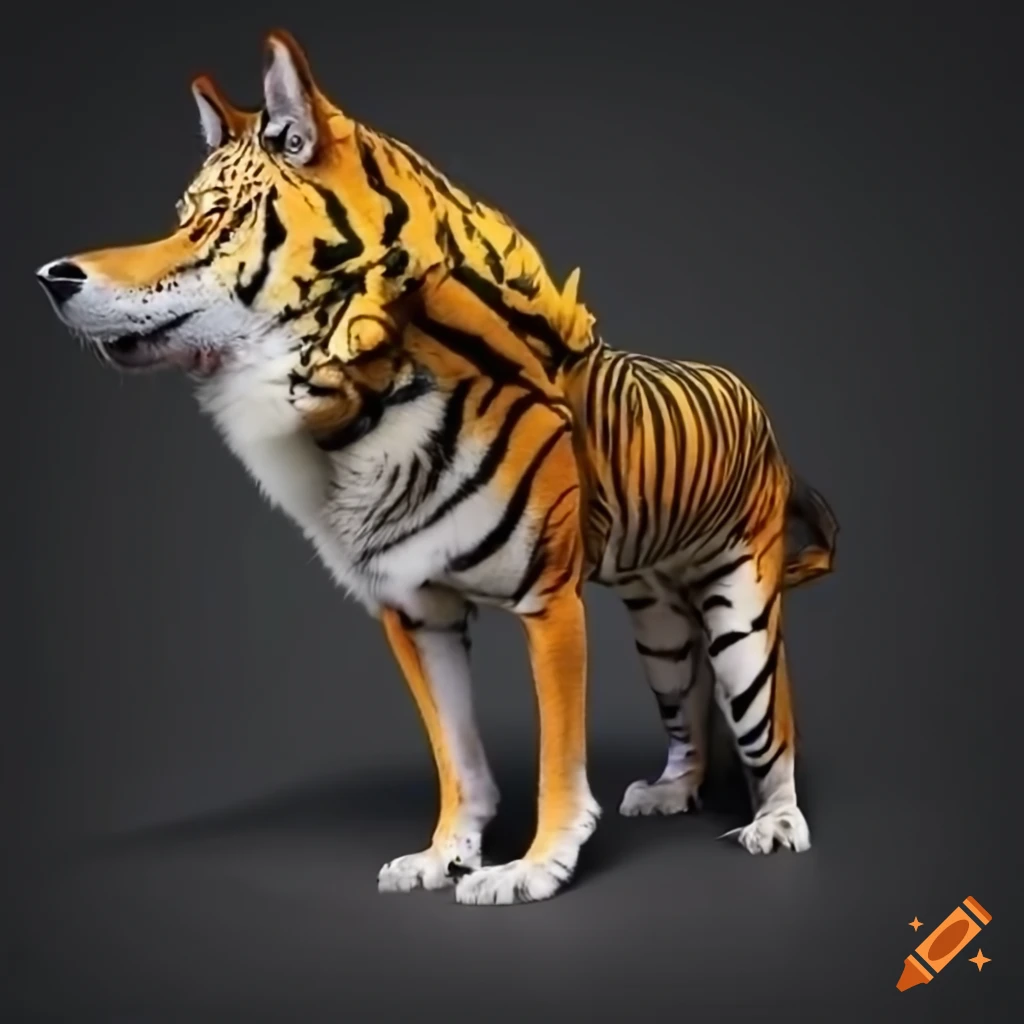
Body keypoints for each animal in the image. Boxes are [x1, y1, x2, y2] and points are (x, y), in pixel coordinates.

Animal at [34, 29, 837, 905]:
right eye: (179, 218)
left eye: (211, 219)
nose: (51, 276)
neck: (359, 412)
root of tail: (753, 400)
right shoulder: (416, 608)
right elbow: (457, 754)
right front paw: (444, 854)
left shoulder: (549, 603)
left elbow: (559, 754)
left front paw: (534, 867)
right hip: (658, 623)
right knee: (688, 714)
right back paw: (670, 792)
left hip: (741, 616)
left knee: (773, 727)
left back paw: (776, 824)